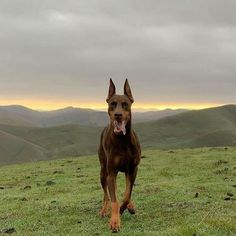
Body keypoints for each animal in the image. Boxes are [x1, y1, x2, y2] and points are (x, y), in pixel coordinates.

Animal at [97, 79, 140, 232]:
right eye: (113, 104)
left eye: (125, 104)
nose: (118, 114)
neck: (122, 140)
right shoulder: (111, 171)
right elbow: (114, 199)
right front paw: (115, 221)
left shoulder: (133, 169)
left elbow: (127, 194)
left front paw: (124, 208)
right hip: (103, 171)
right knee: (107, 194)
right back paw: (104, 210)